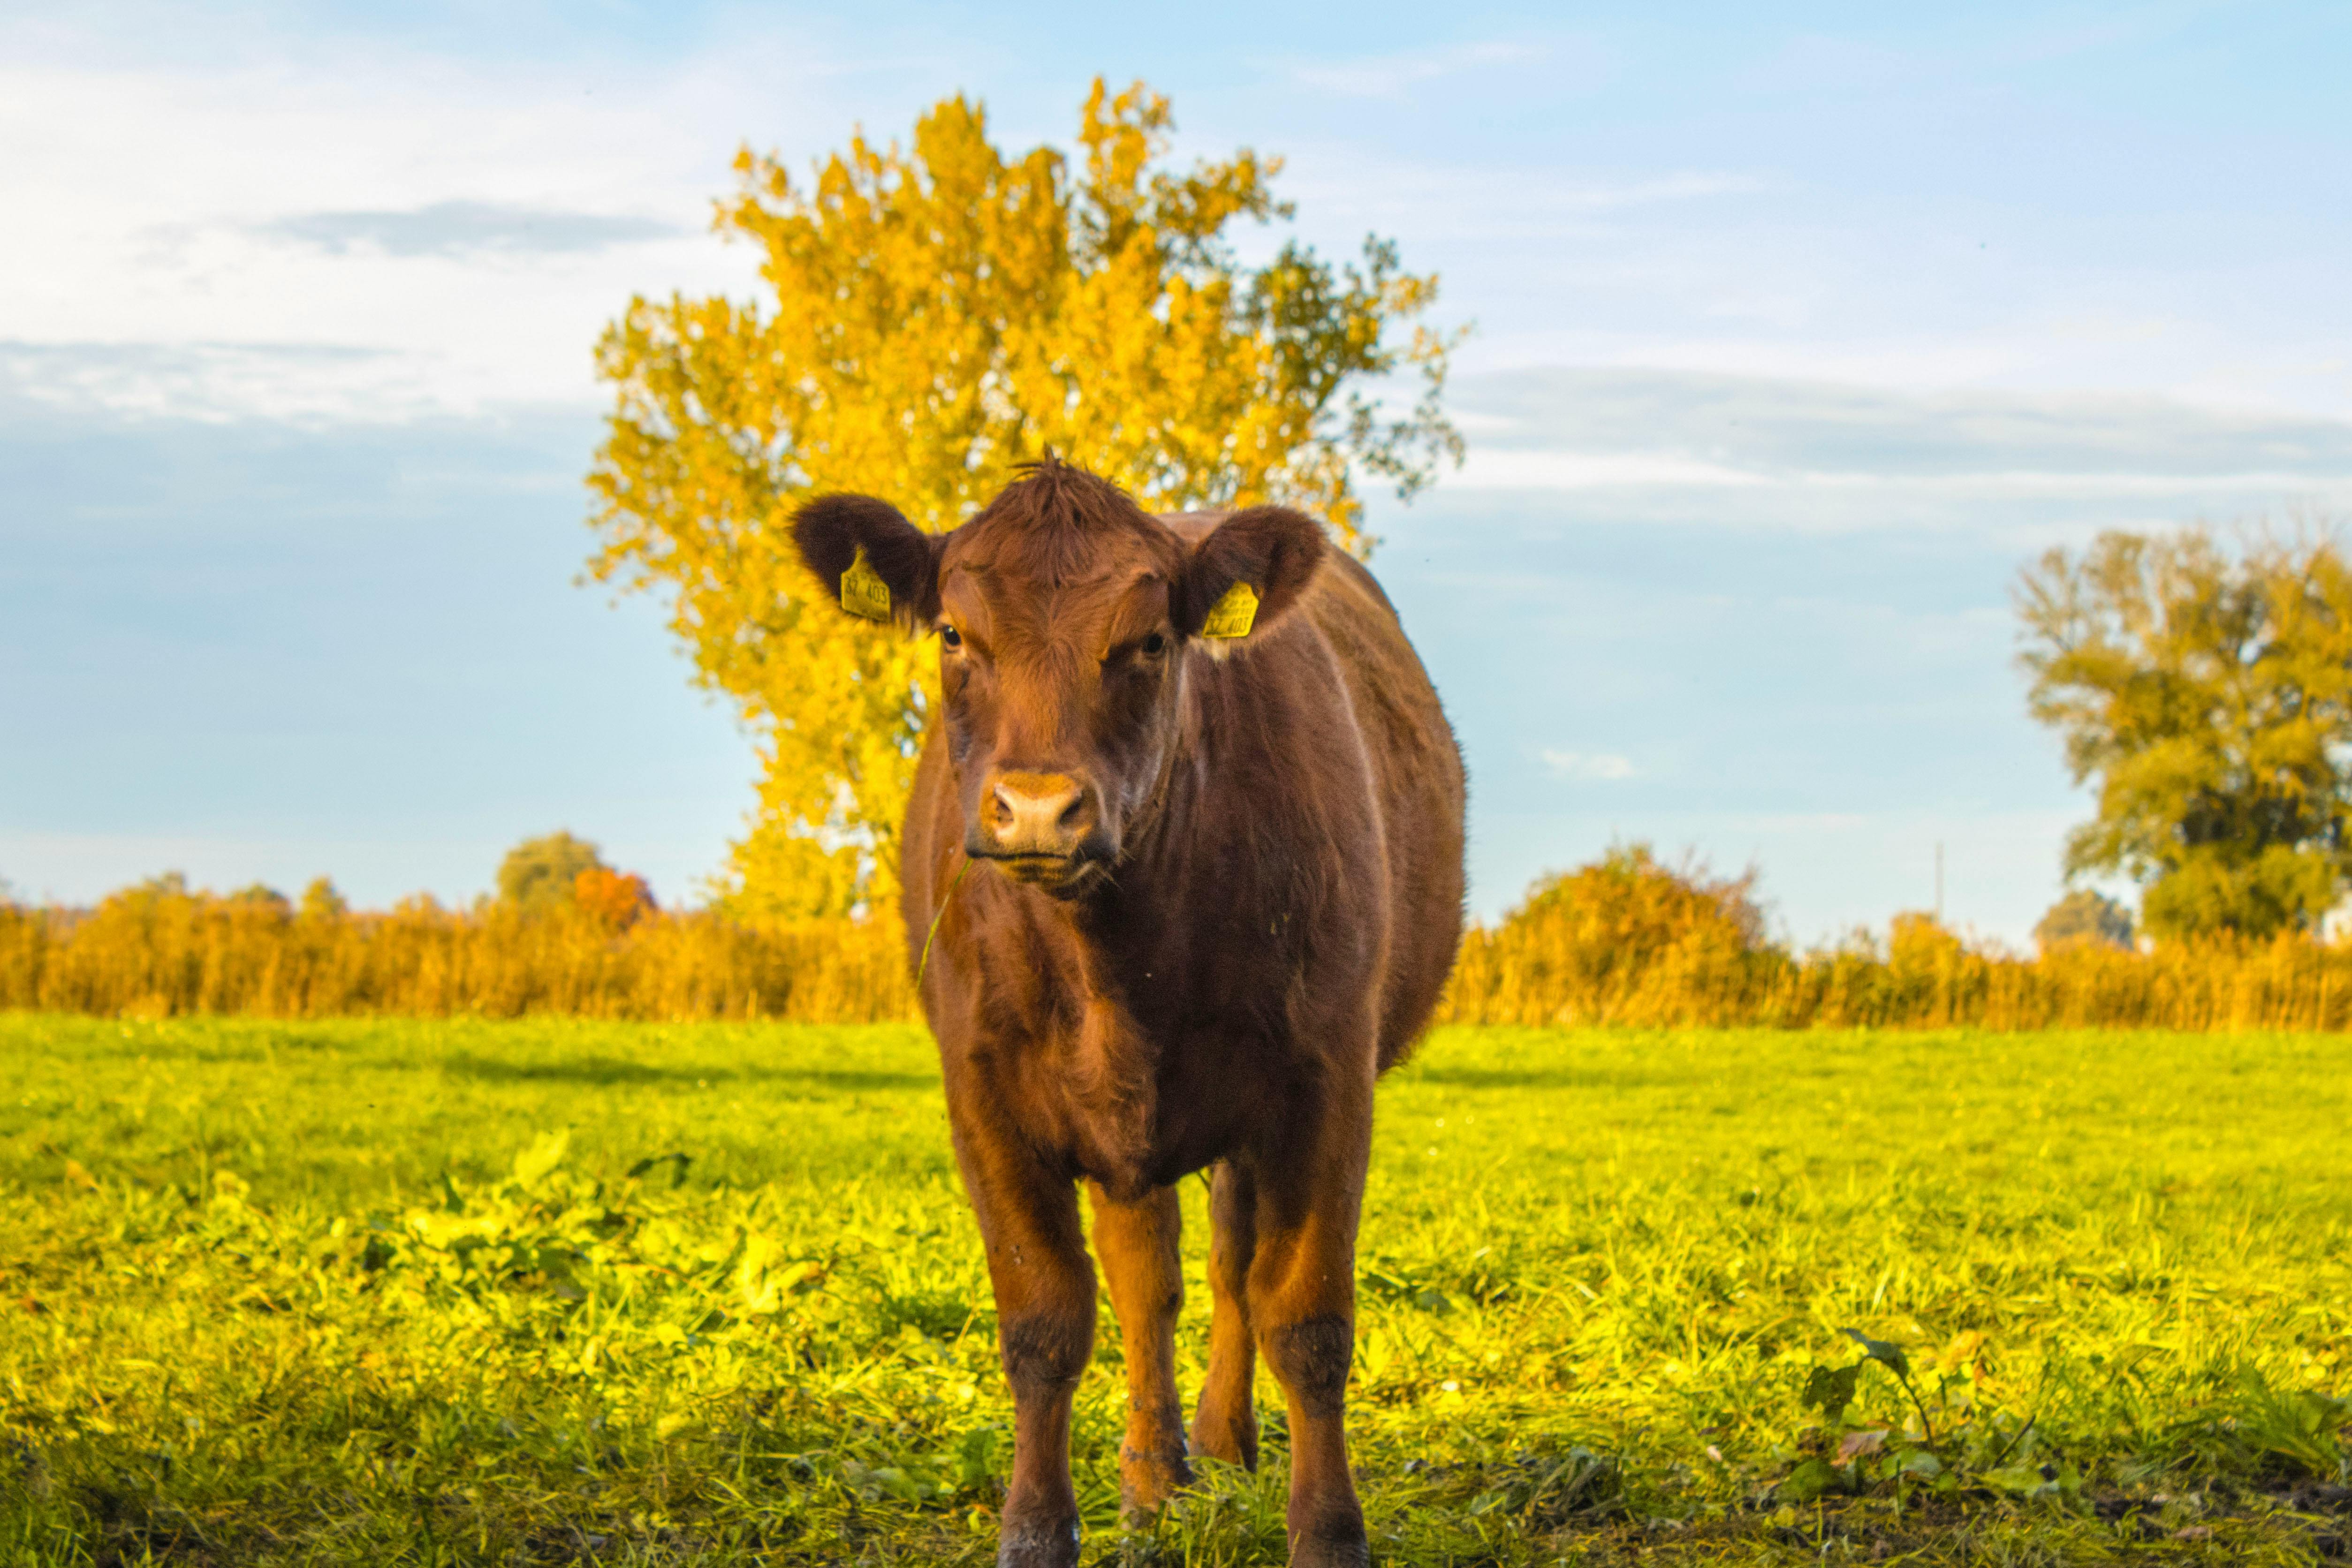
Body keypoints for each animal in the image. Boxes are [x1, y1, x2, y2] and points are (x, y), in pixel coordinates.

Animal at [792, 459, 1466, 1568]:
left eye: (1150, 640)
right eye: (953, 634)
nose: (1035, 808)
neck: (1116, 956)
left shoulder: (1324, 1081)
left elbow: (1306, 1321)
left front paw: (1327, 1533)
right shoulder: (982, 1093)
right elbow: (1044, 1320)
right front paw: (1034, 1529)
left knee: (1231, 1270)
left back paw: (1221, 1446)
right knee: (1145, 1278)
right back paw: (1153, 1479)